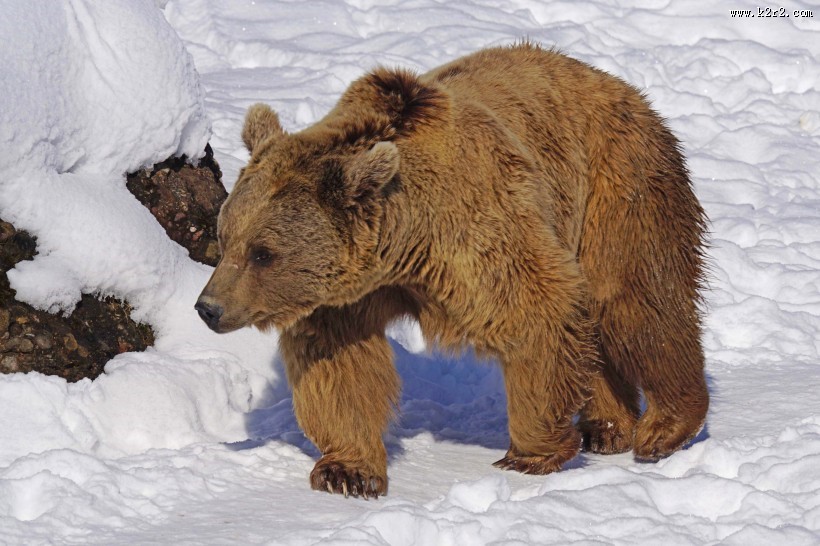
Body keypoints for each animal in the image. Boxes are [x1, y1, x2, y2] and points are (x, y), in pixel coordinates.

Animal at [196, 43, 709, 499]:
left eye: (263, 253)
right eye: (226, 237)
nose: (208, 308)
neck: (401, 244)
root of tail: (614, 83)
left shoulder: (475, 230)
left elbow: (537, 310)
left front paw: (529, 453)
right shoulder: (347, 293)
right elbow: (339, 364)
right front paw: (347, 472)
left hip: (615, 186)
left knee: (636, 302)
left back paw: (665, 427)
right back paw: (606, 426)